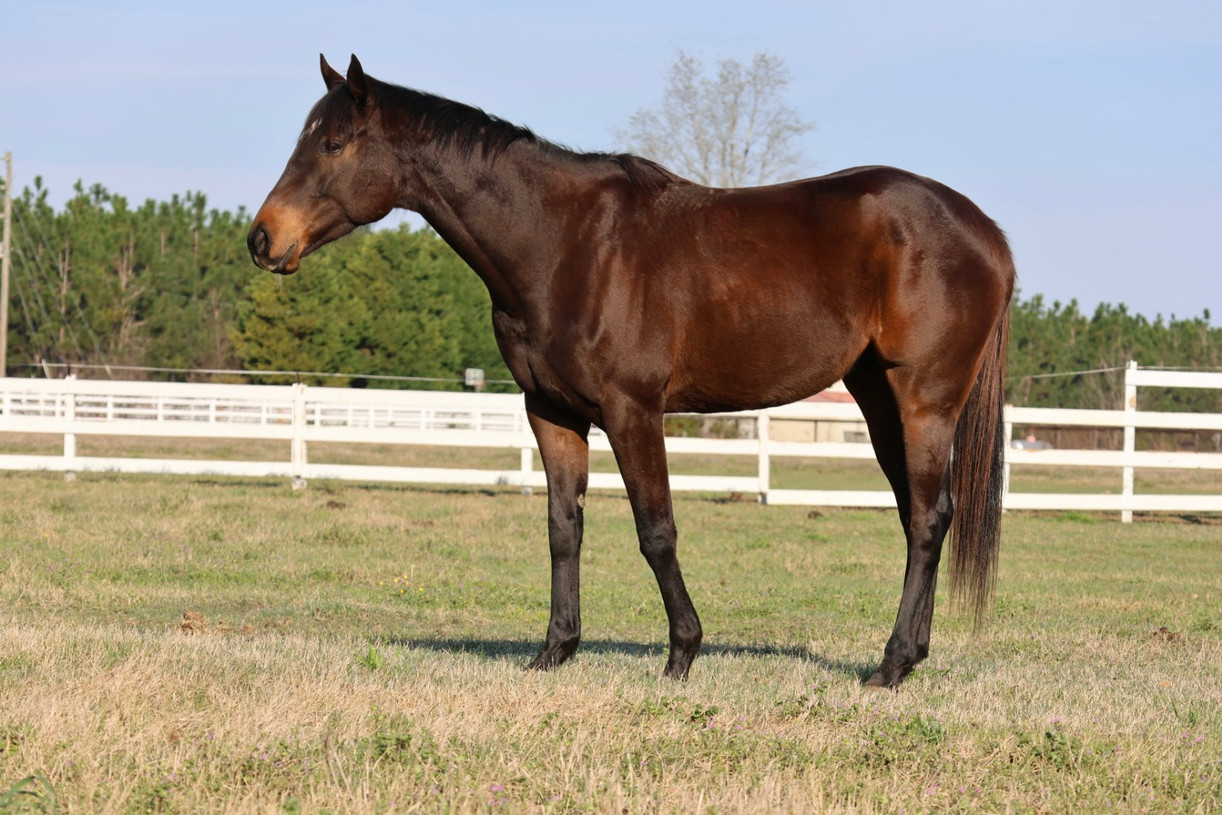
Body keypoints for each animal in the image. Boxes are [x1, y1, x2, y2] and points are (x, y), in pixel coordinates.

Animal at [249, 54, 1014, 688]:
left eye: (335, 143)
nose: (262, 238)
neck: (563, 243)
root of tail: (985, 232)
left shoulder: (632, 410)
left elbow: (656, 529)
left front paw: (682, 653)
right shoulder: (550, 412)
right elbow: (564, 528)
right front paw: (554, 651)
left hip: (923, 400)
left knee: (928, 518)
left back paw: (890, 665)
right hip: (877, 399)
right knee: (919, 514)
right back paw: (909, 657)